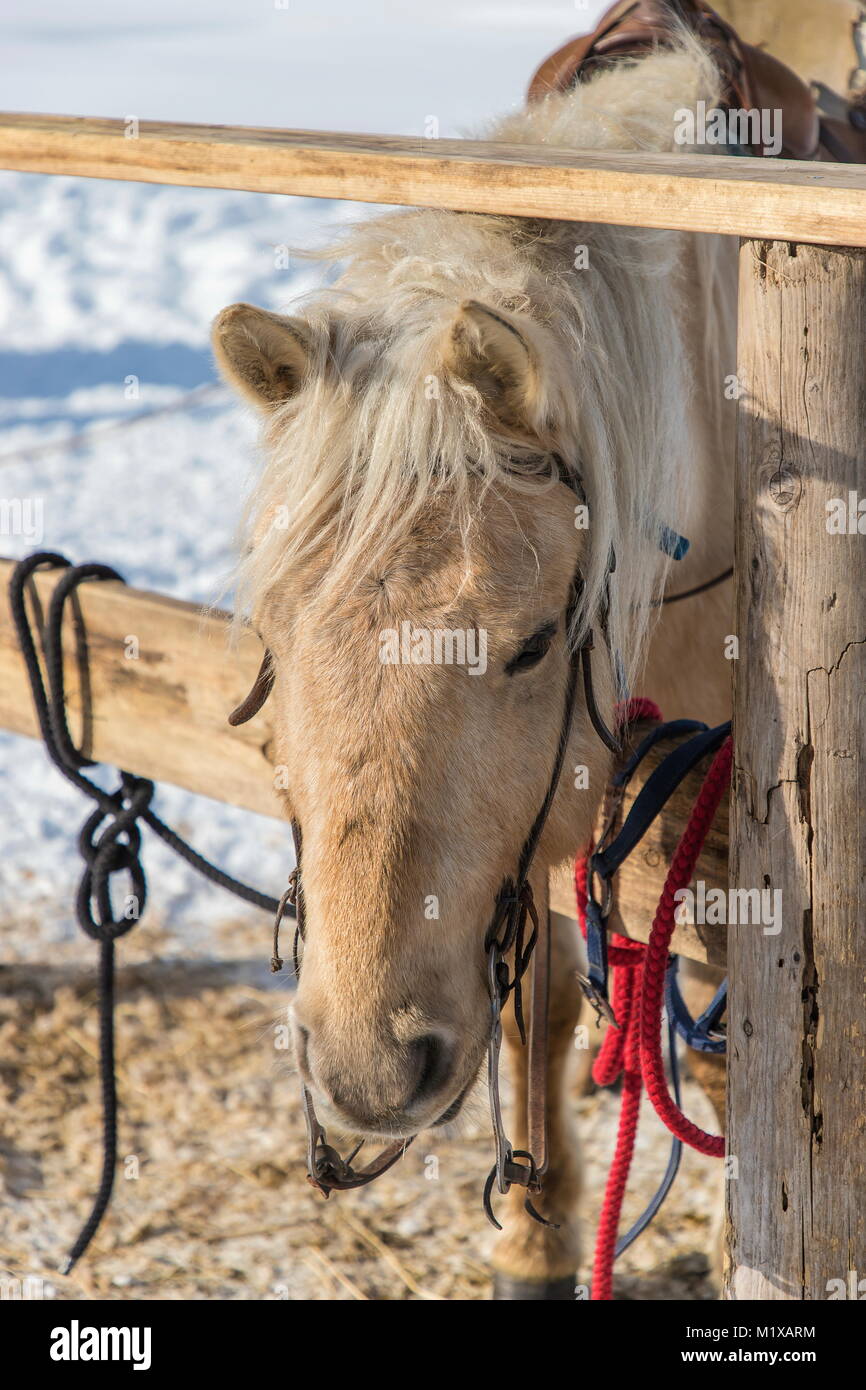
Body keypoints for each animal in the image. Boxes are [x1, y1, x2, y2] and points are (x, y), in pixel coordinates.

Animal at [211, 2, 862, 1299]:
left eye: (524, 647)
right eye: (274, 636)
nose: (365, 1068)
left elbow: (733, 1057)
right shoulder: (554, 823)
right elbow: (540, 1003)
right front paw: (529, 1235)